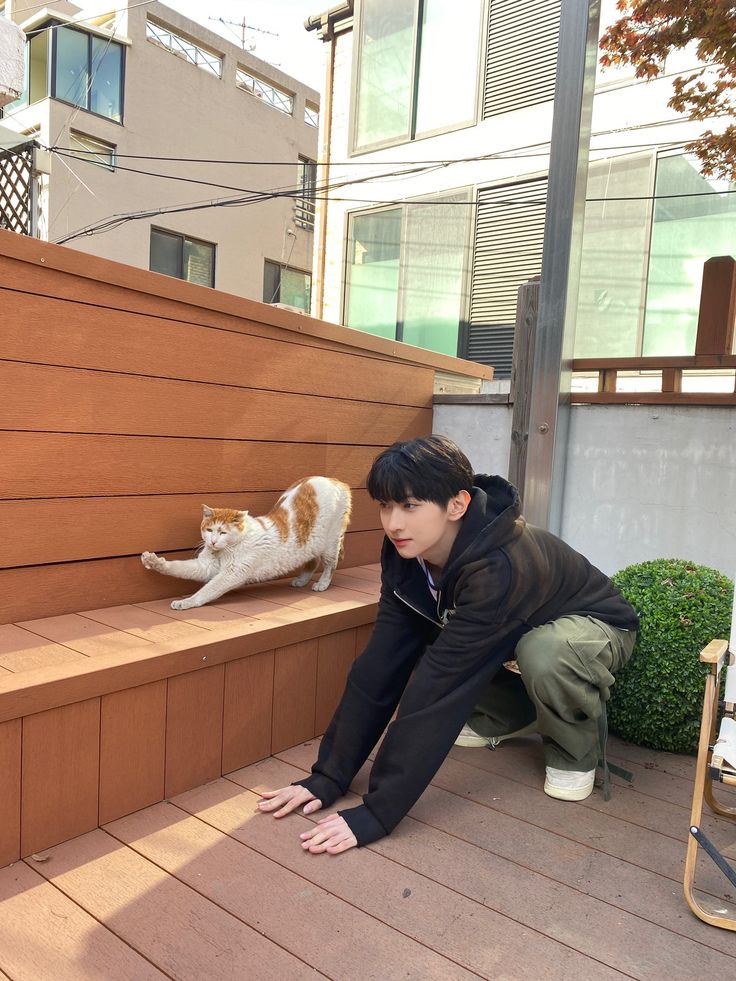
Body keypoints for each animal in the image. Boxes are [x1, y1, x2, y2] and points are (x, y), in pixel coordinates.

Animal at [143, 476, 354, 608]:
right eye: (209, 530)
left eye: (222, 532)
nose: (213, 542)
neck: (226, 549)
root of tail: (336, 481)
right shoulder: (205, 566)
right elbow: (179, 567)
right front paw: (154, 561)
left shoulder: (233, 573)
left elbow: (207, 590)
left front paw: (186, 602)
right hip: (311, 543)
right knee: (312, 560)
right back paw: (301, 580)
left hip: (331, 542)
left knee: (330, 564)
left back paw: (322, 584)